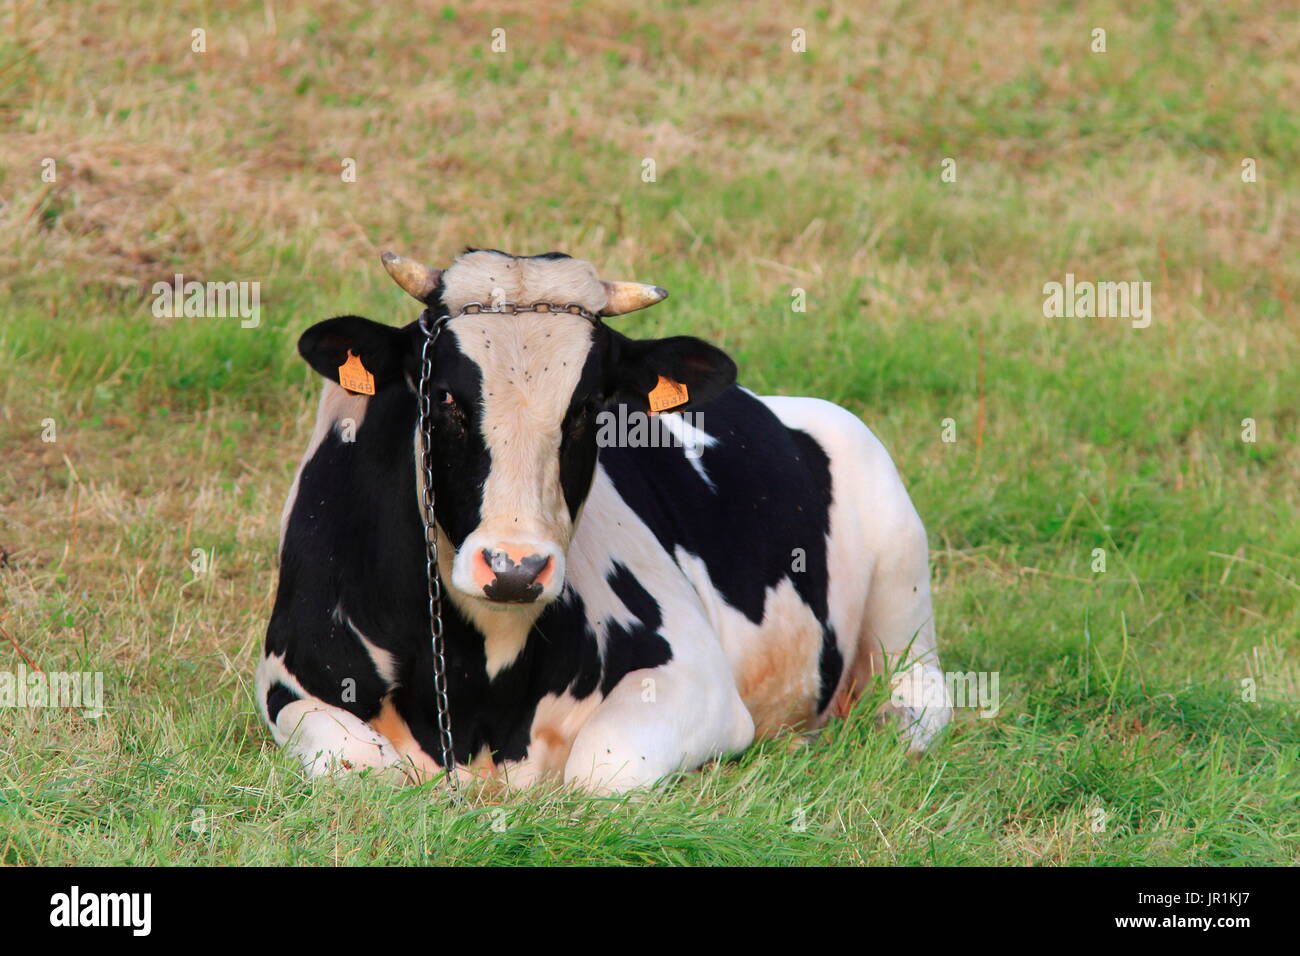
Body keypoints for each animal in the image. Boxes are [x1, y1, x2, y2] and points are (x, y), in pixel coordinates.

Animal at [256, 248, 951, 793]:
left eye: (590, 406)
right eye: (442, 396)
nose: (515, 567)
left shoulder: (698, 677)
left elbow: (603, 766)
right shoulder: (288, 679)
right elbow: (359, 763)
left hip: (903, 582)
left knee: (920, 694)